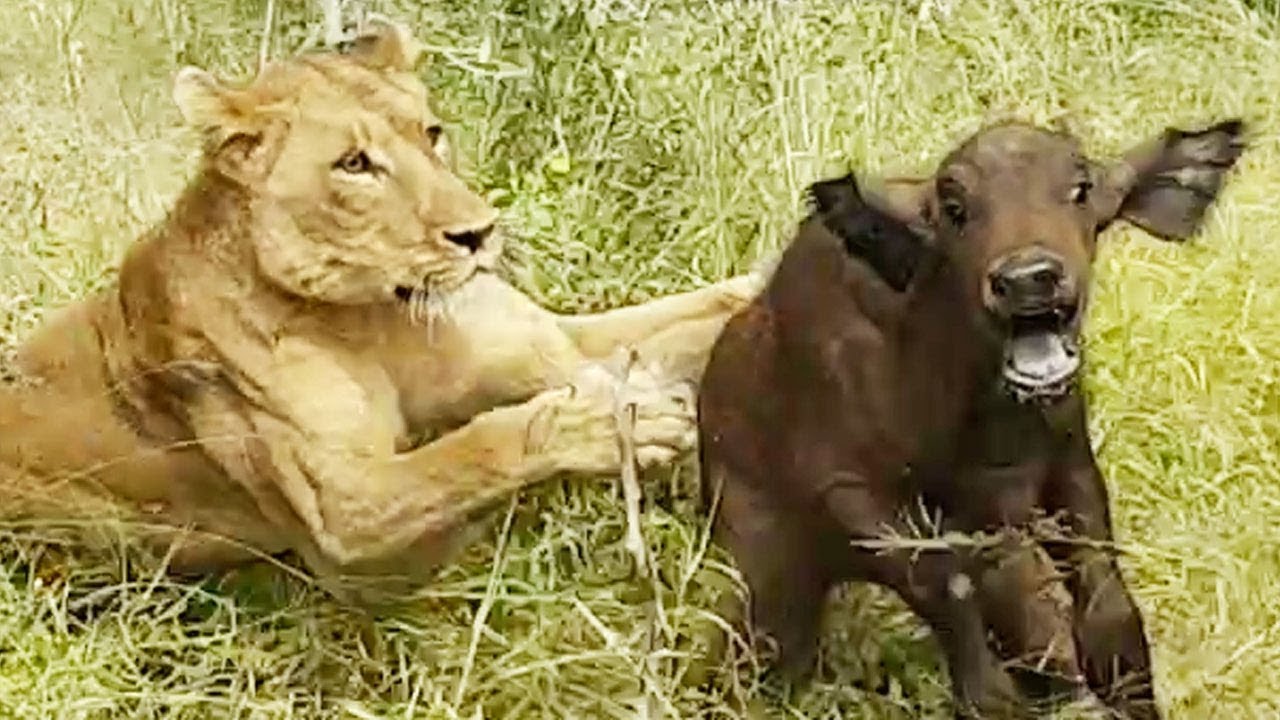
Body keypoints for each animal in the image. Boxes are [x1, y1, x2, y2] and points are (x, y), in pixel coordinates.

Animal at [0, 20, 762, 595]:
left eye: (432, 133)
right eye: (354, 165)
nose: (478, 234)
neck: (378, 316)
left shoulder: (558, 338)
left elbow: (698, 310)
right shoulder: (347, 524)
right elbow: (473, 449)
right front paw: (617, 422)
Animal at [696, 118, 1245, 718]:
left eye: (1080, 188)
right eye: (955, 208)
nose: (1027, 278)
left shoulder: (1062, 473)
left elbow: (1105, 614)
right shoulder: (850, 495)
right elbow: (960, 602)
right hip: (760, 573)